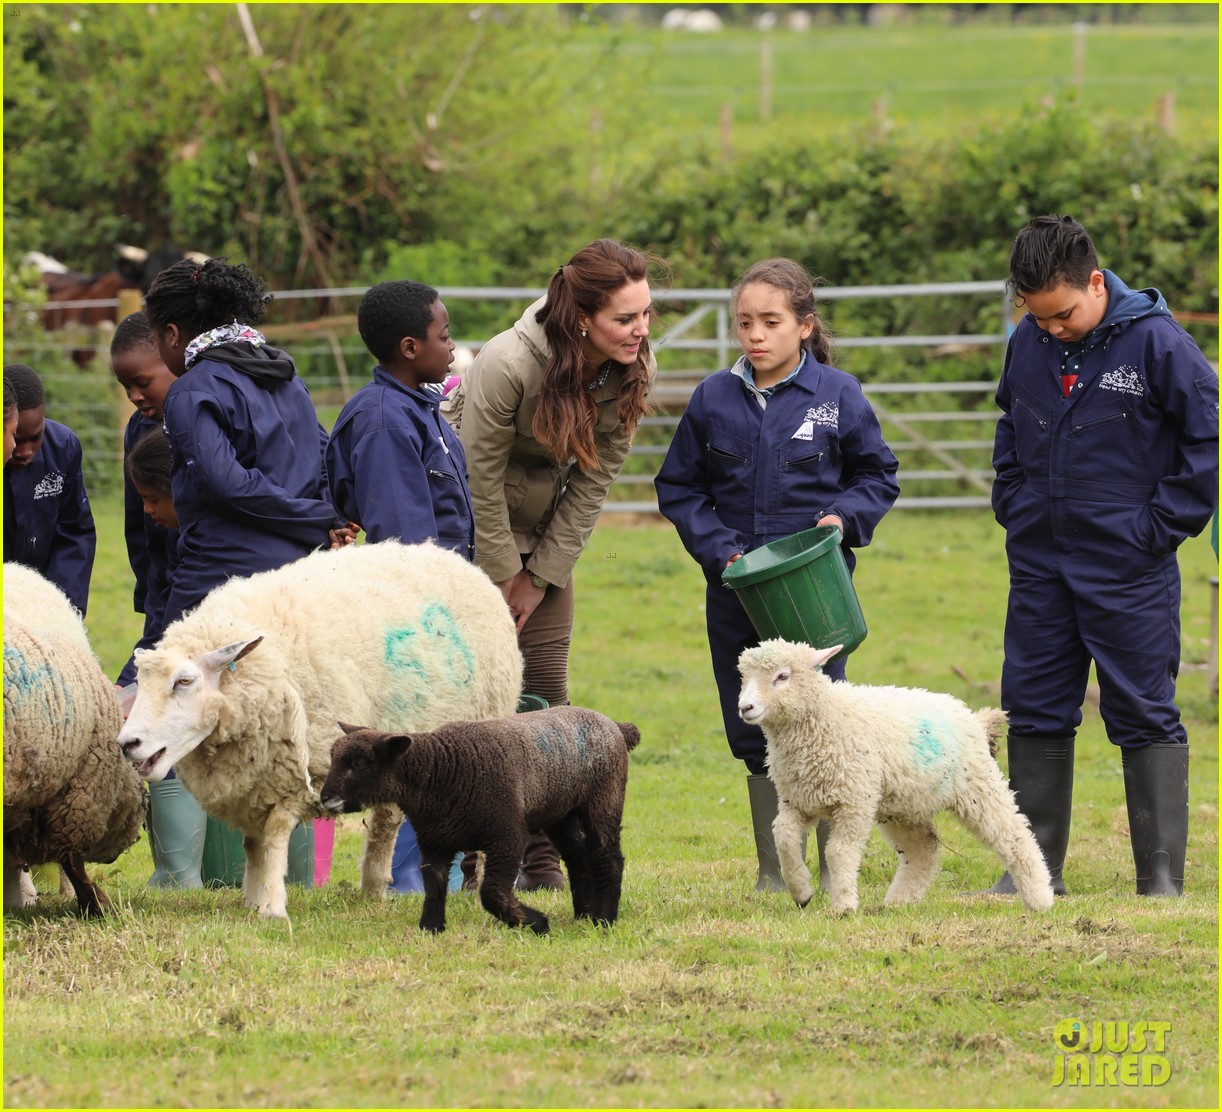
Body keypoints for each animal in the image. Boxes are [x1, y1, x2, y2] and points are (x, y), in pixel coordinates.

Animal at [117, 541, 523, 921]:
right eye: (141, 681)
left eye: (184, 681)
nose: (127, 743)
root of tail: (453, 558)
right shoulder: (252, 783)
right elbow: (252, 844)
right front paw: (251, 898)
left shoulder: (307, 773)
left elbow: (276, 833)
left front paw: (273, 906)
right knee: (386, 819)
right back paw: (372, 889)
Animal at [319, 707, 641, 934]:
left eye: (360, 763)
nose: (325, 798)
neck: (439, 770)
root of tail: (616, 727)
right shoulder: (434, 842)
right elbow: (434, 887)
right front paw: (431, 928)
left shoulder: (507, 835)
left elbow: (492, 893)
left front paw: (536, 923)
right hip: (562, 812)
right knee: (577, 858)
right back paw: (584, 914)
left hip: (604, 797)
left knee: (608, 857)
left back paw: (604, 920)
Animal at [737, 639, 1054, 915]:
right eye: (744, 677)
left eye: (782, 676)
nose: (744, 707)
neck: (828, 719)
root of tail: (971, 716)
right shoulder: (797, 801)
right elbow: (783, 837)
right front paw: (801, 892)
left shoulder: (855, 802)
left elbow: (839, 851)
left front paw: (843, 906)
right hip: (903, 806)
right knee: (924, 849)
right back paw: (898, 901)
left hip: (978, 787)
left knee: (1015, 836)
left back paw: (1040, 898)